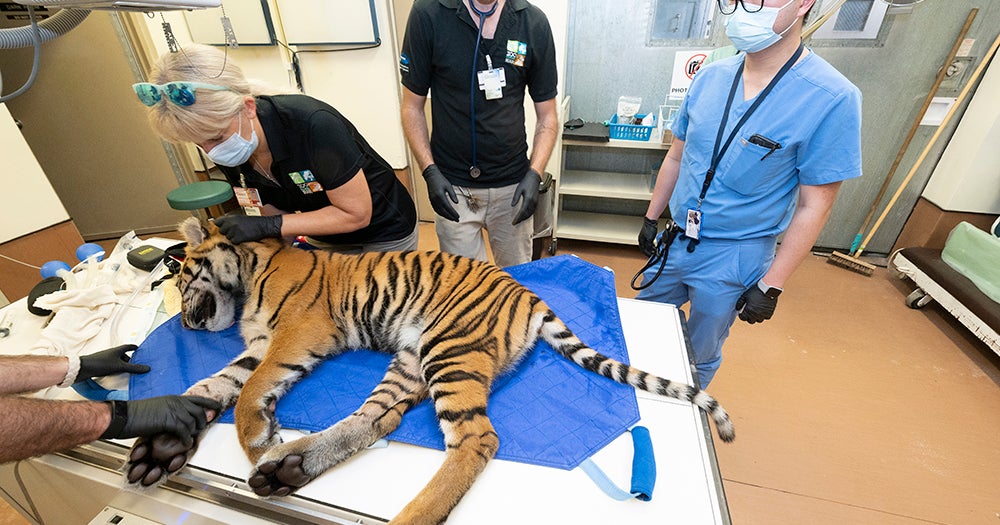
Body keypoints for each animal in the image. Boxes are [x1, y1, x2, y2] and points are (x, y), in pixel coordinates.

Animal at [123, 217, 735, 525]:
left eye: (182, 276)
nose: (185, 319)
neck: (248, 277)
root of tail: (526, 291)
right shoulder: (257, 344)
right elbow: (207, 386)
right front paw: (161, 446)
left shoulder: (296, 333)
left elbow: (250, 388)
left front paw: (254, 440)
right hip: (411, 357)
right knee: (379, 419)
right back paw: (289, 466)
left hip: (450, 352)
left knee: (476, 441)